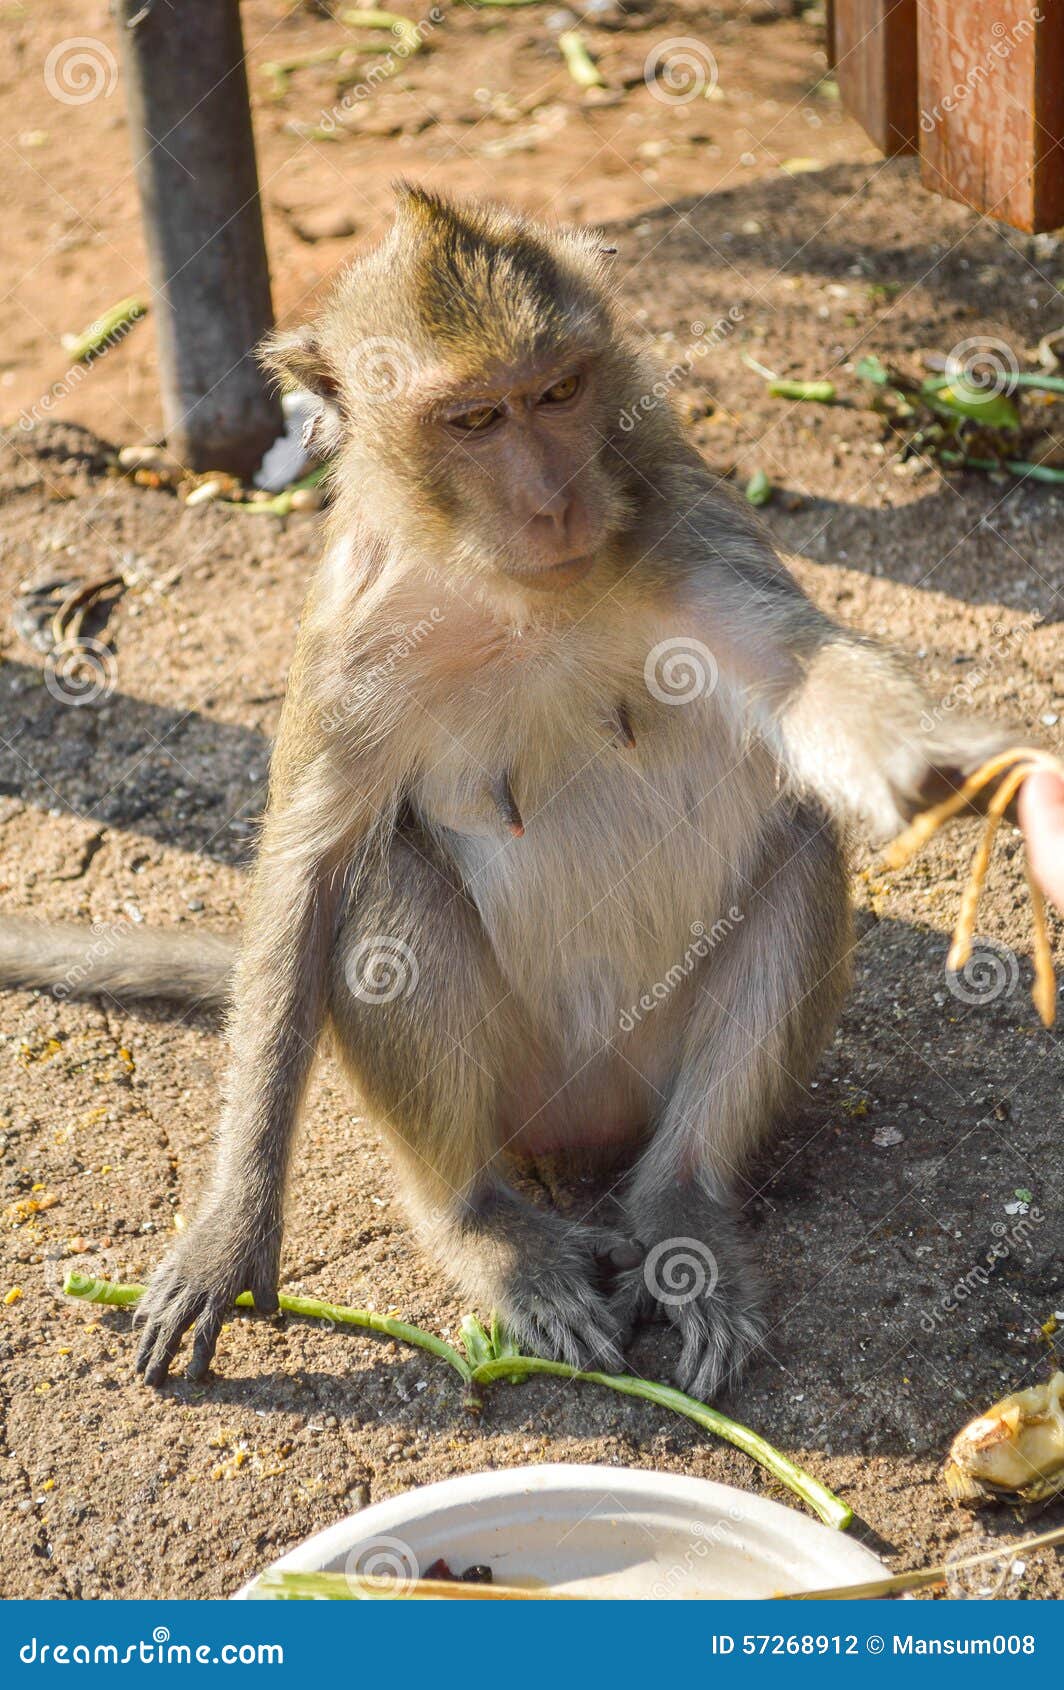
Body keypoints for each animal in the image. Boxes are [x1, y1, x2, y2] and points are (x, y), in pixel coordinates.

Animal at [0, 186, 1017, 1397]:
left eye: (559, 392)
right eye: (475, 421)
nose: (554, 499)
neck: (513, 587)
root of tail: (583, 1133)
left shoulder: (688, 523)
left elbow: (801, 683)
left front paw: (940, 768)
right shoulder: (354, 628)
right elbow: (309, 874)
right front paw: (232, 1227)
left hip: (644, 1078)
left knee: (802, 852)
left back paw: (681, 1210)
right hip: (521, 1094)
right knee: (384, 894)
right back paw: (483, 1228)